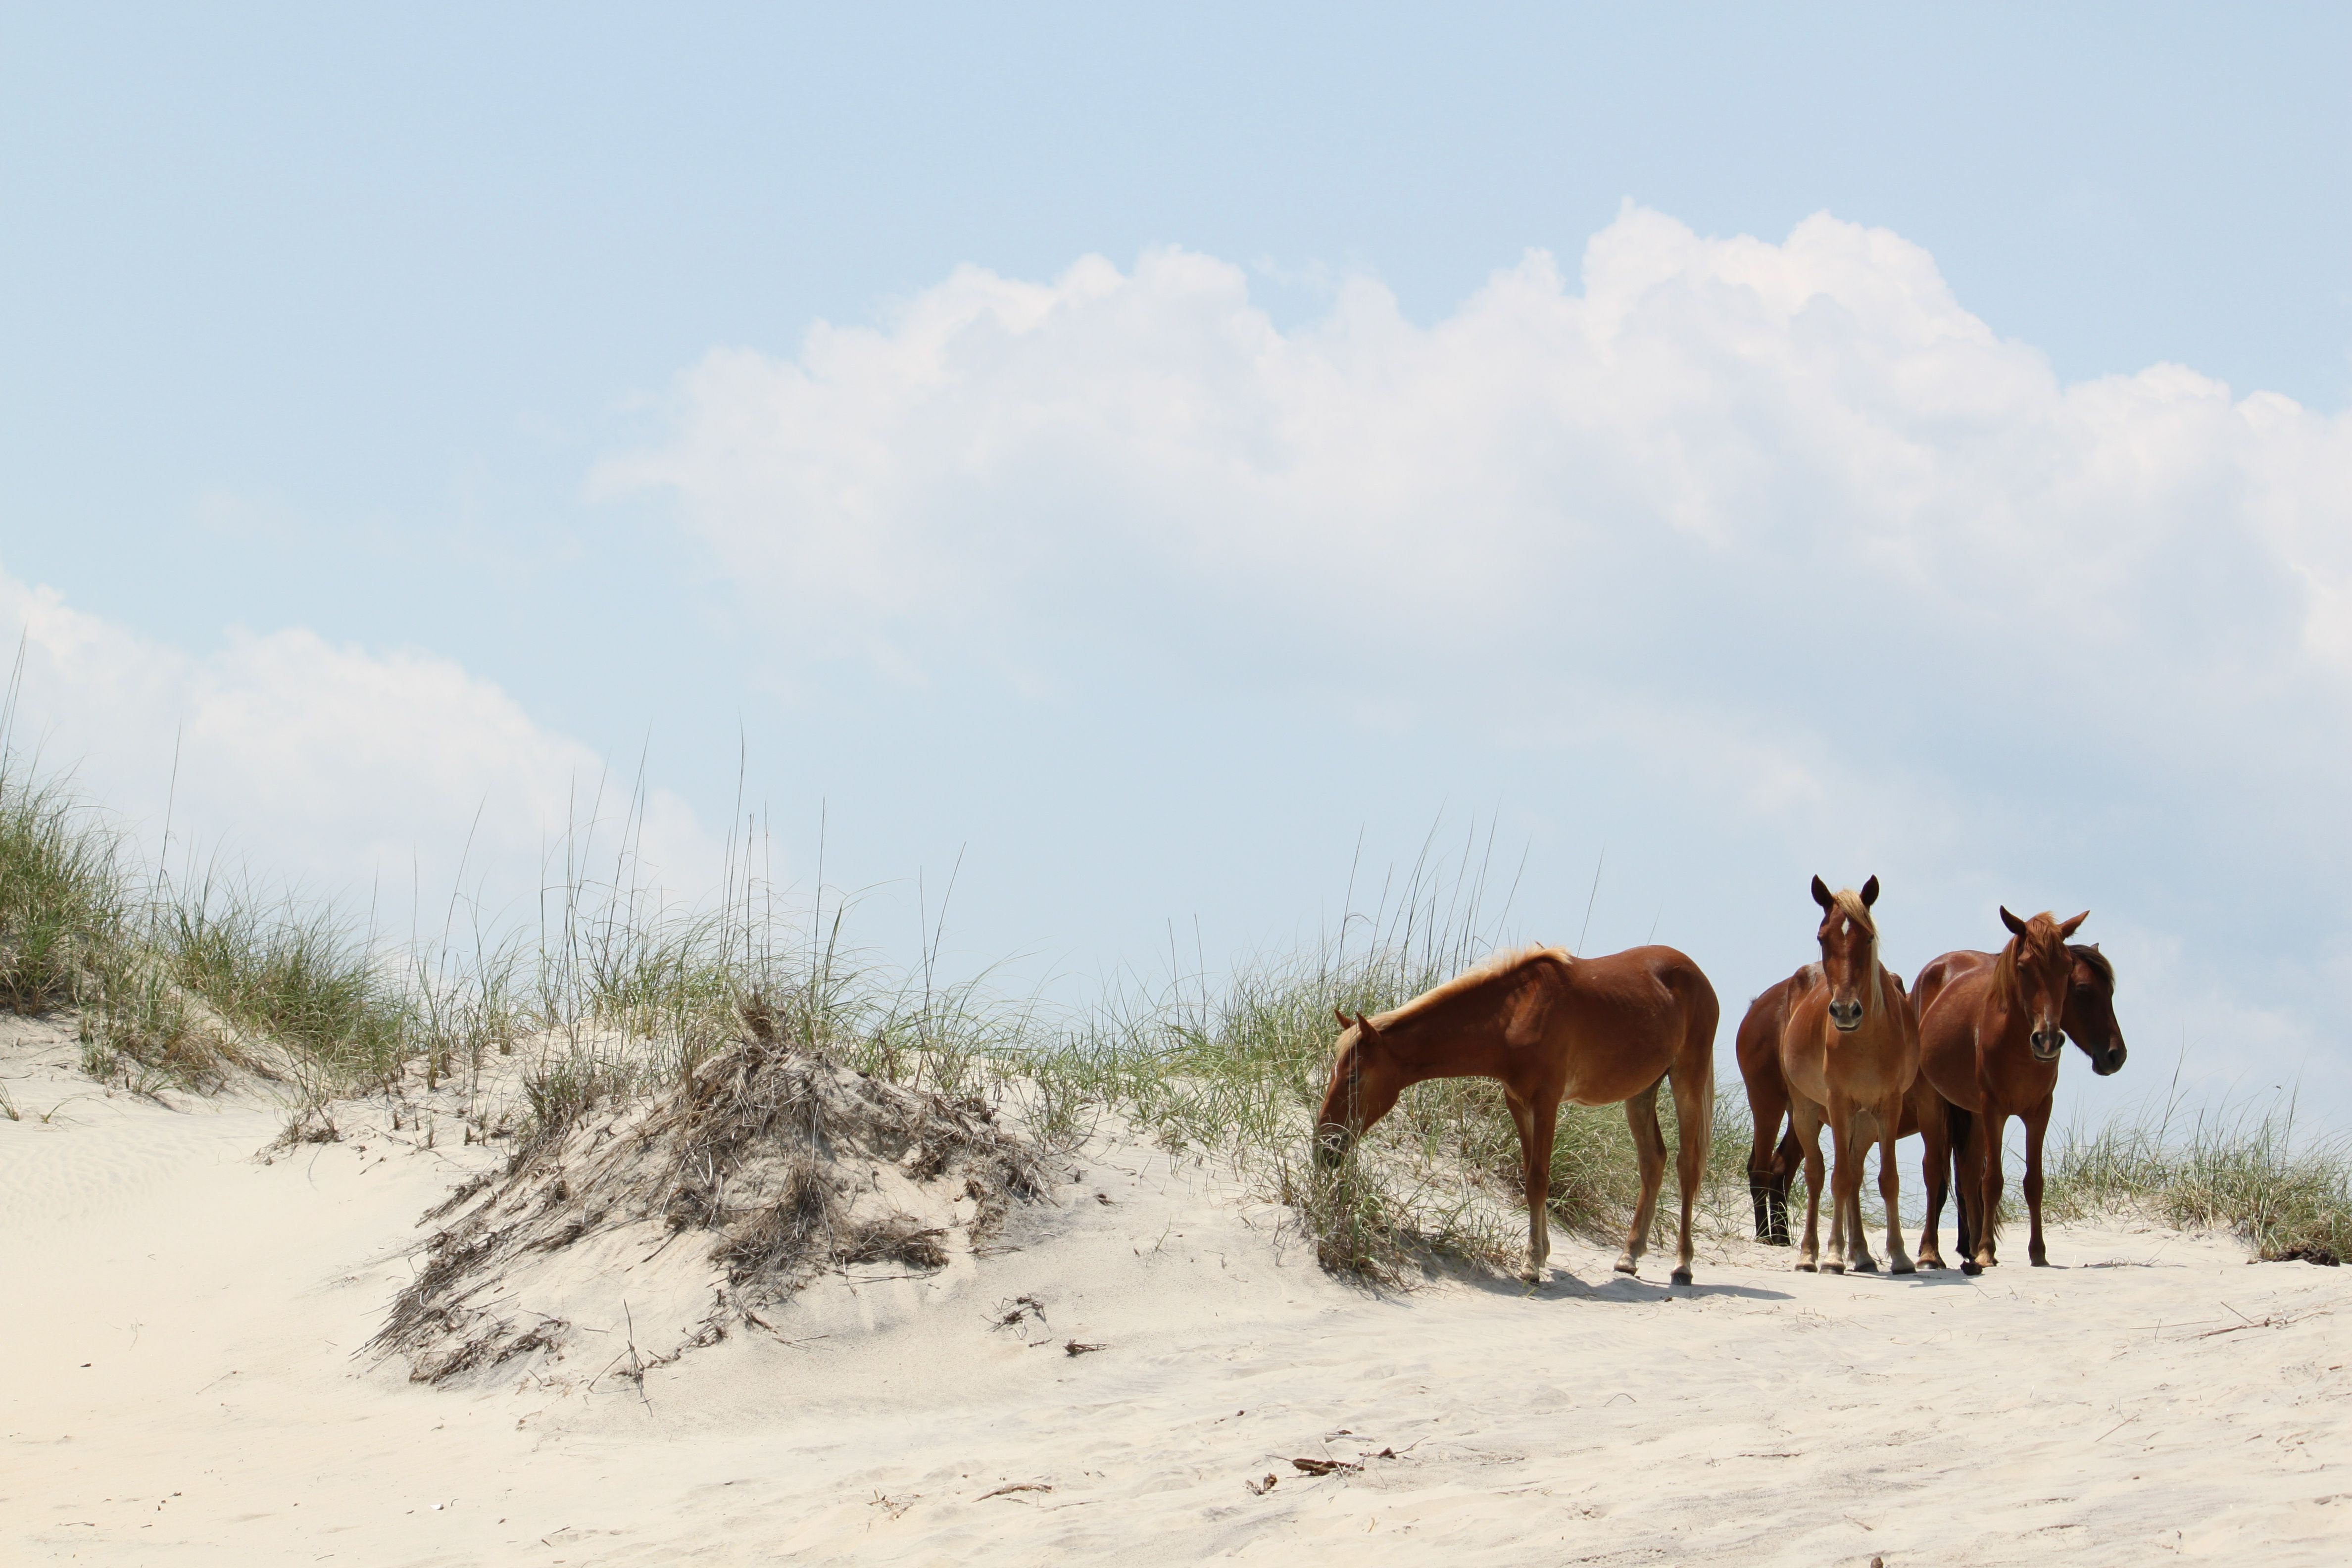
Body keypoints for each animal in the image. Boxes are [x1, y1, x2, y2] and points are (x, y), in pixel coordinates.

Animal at [1314, 944, 1718, 1285]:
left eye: (1353, 1077)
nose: (1324, 1147)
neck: (1517, 1013)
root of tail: (1696, 972)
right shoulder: (1519, 1103)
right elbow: (1529, 1177)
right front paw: (1541, 1252)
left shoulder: (1546, 1102)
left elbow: (1540, 1178)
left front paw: (1531, 1263)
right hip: (1641, 1092)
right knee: (1653, 1162)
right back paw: (1629, 1256)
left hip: (1687, 1080)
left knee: (1686, 1165)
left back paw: (1683, 1265)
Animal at [1734, 876, 1919, 1274]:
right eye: (1822, 938)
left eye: (1868, 937)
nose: (1846, 1011)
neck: (1867, 1041)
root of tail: (1758, 1006)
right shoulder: (1839, 1104)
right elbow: (1840, 1178)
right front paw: (1835, 1254)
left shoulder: (1886, 1107)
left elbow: (1885, 1179)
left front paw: (1897, 1255)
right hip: (1779, 1106)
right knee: (1787, 1170)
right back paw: (1792, 1246)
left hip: (1830, 1117)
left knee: (1791, 1167)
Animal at [1741, 942, 2125, 1258]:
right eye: (2083, 990)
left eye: (2110, 991)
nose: (2114, 1055)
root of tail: (1761, 1006)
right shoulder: (1954, 1117)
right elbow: (1949, 1180)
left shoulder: (1969, 1117)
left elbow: (1968, 1177)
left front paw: (1970, 1246)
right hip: (1769, 1106)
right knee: (1761, 1166)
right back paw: (1767, 1237)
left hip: (1806, 1114)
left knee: (1783, 1167)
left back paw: (1784, 1238)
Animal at [1911, 908, 2091, 1273]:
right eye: (2023, 967)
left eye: (2067, 968)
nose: (2047, 1040)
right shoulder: (1995, 1110)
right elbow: (1992, 1181)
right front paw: (1985, 1251)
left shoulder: (2039, 1111)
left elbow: (2033, 1182)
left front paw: (2038, 1252)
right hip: (1933, 1101)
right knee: (1935, 1171)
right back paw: (1932, 1254)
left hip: (1972, 1112)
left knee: (1967, 1175)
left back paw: (1969, 1250)